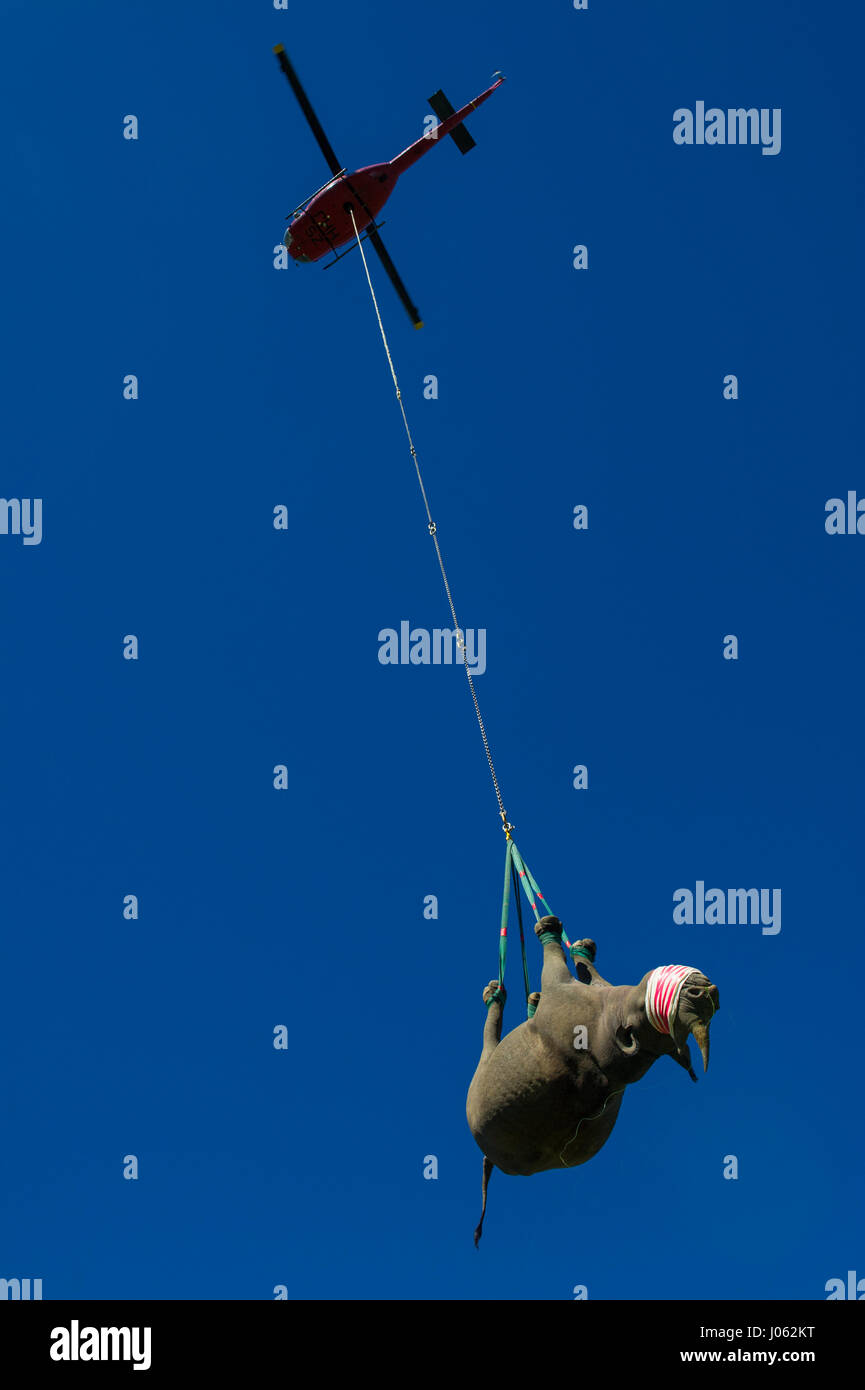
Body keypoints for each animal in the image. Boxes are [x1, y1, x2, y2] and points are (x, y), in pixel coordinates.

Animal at [466, 915, 719, 1245]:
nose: (705, 993)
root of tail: (492, 1161)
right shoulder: (602, 996)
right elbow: (590, 974)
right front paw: (583, 949)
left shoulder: (562, 991)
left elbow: (554, 962)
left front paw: (549, 930)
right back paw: (527, 1000)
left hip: (479, 1085)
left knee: (489, 1043)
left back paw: (496, 996)